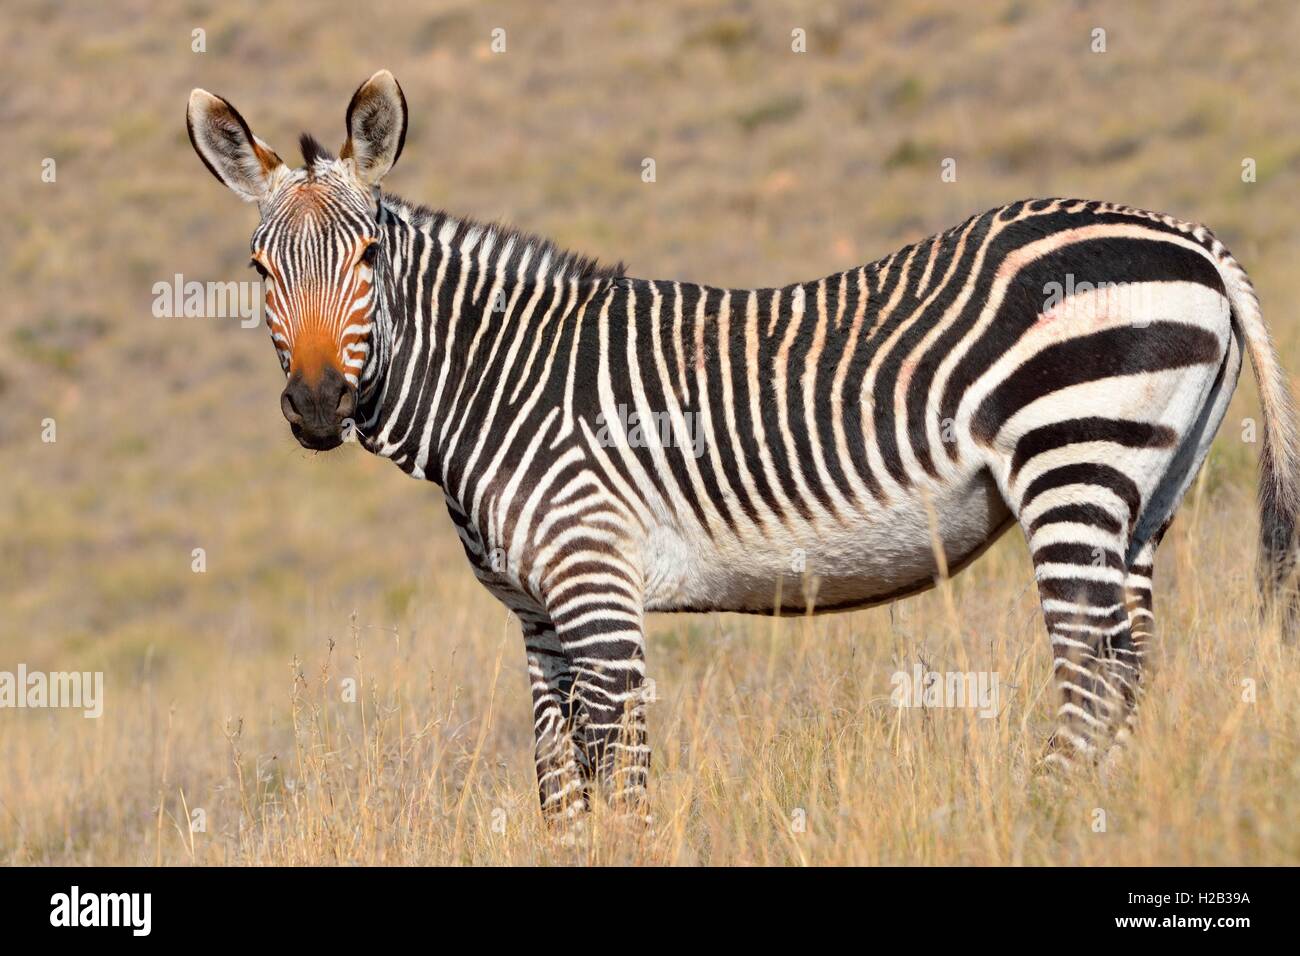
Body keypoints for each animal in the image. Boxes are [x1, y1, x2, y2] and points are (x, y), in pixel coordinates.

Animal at [187, 70, 1299, 820]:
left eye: (370, 254)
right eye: (258, 267)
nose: (317, 405)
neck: (497, 384)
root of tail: (1189, 235)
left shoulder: (597, 590)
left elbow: (624, 783)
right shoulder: (537, 620)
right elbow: (561, 798)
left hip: (1073, 460)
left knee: (1091, 671)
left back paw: (1046, 814)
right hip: (1143, 491)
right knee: (1127, 666)